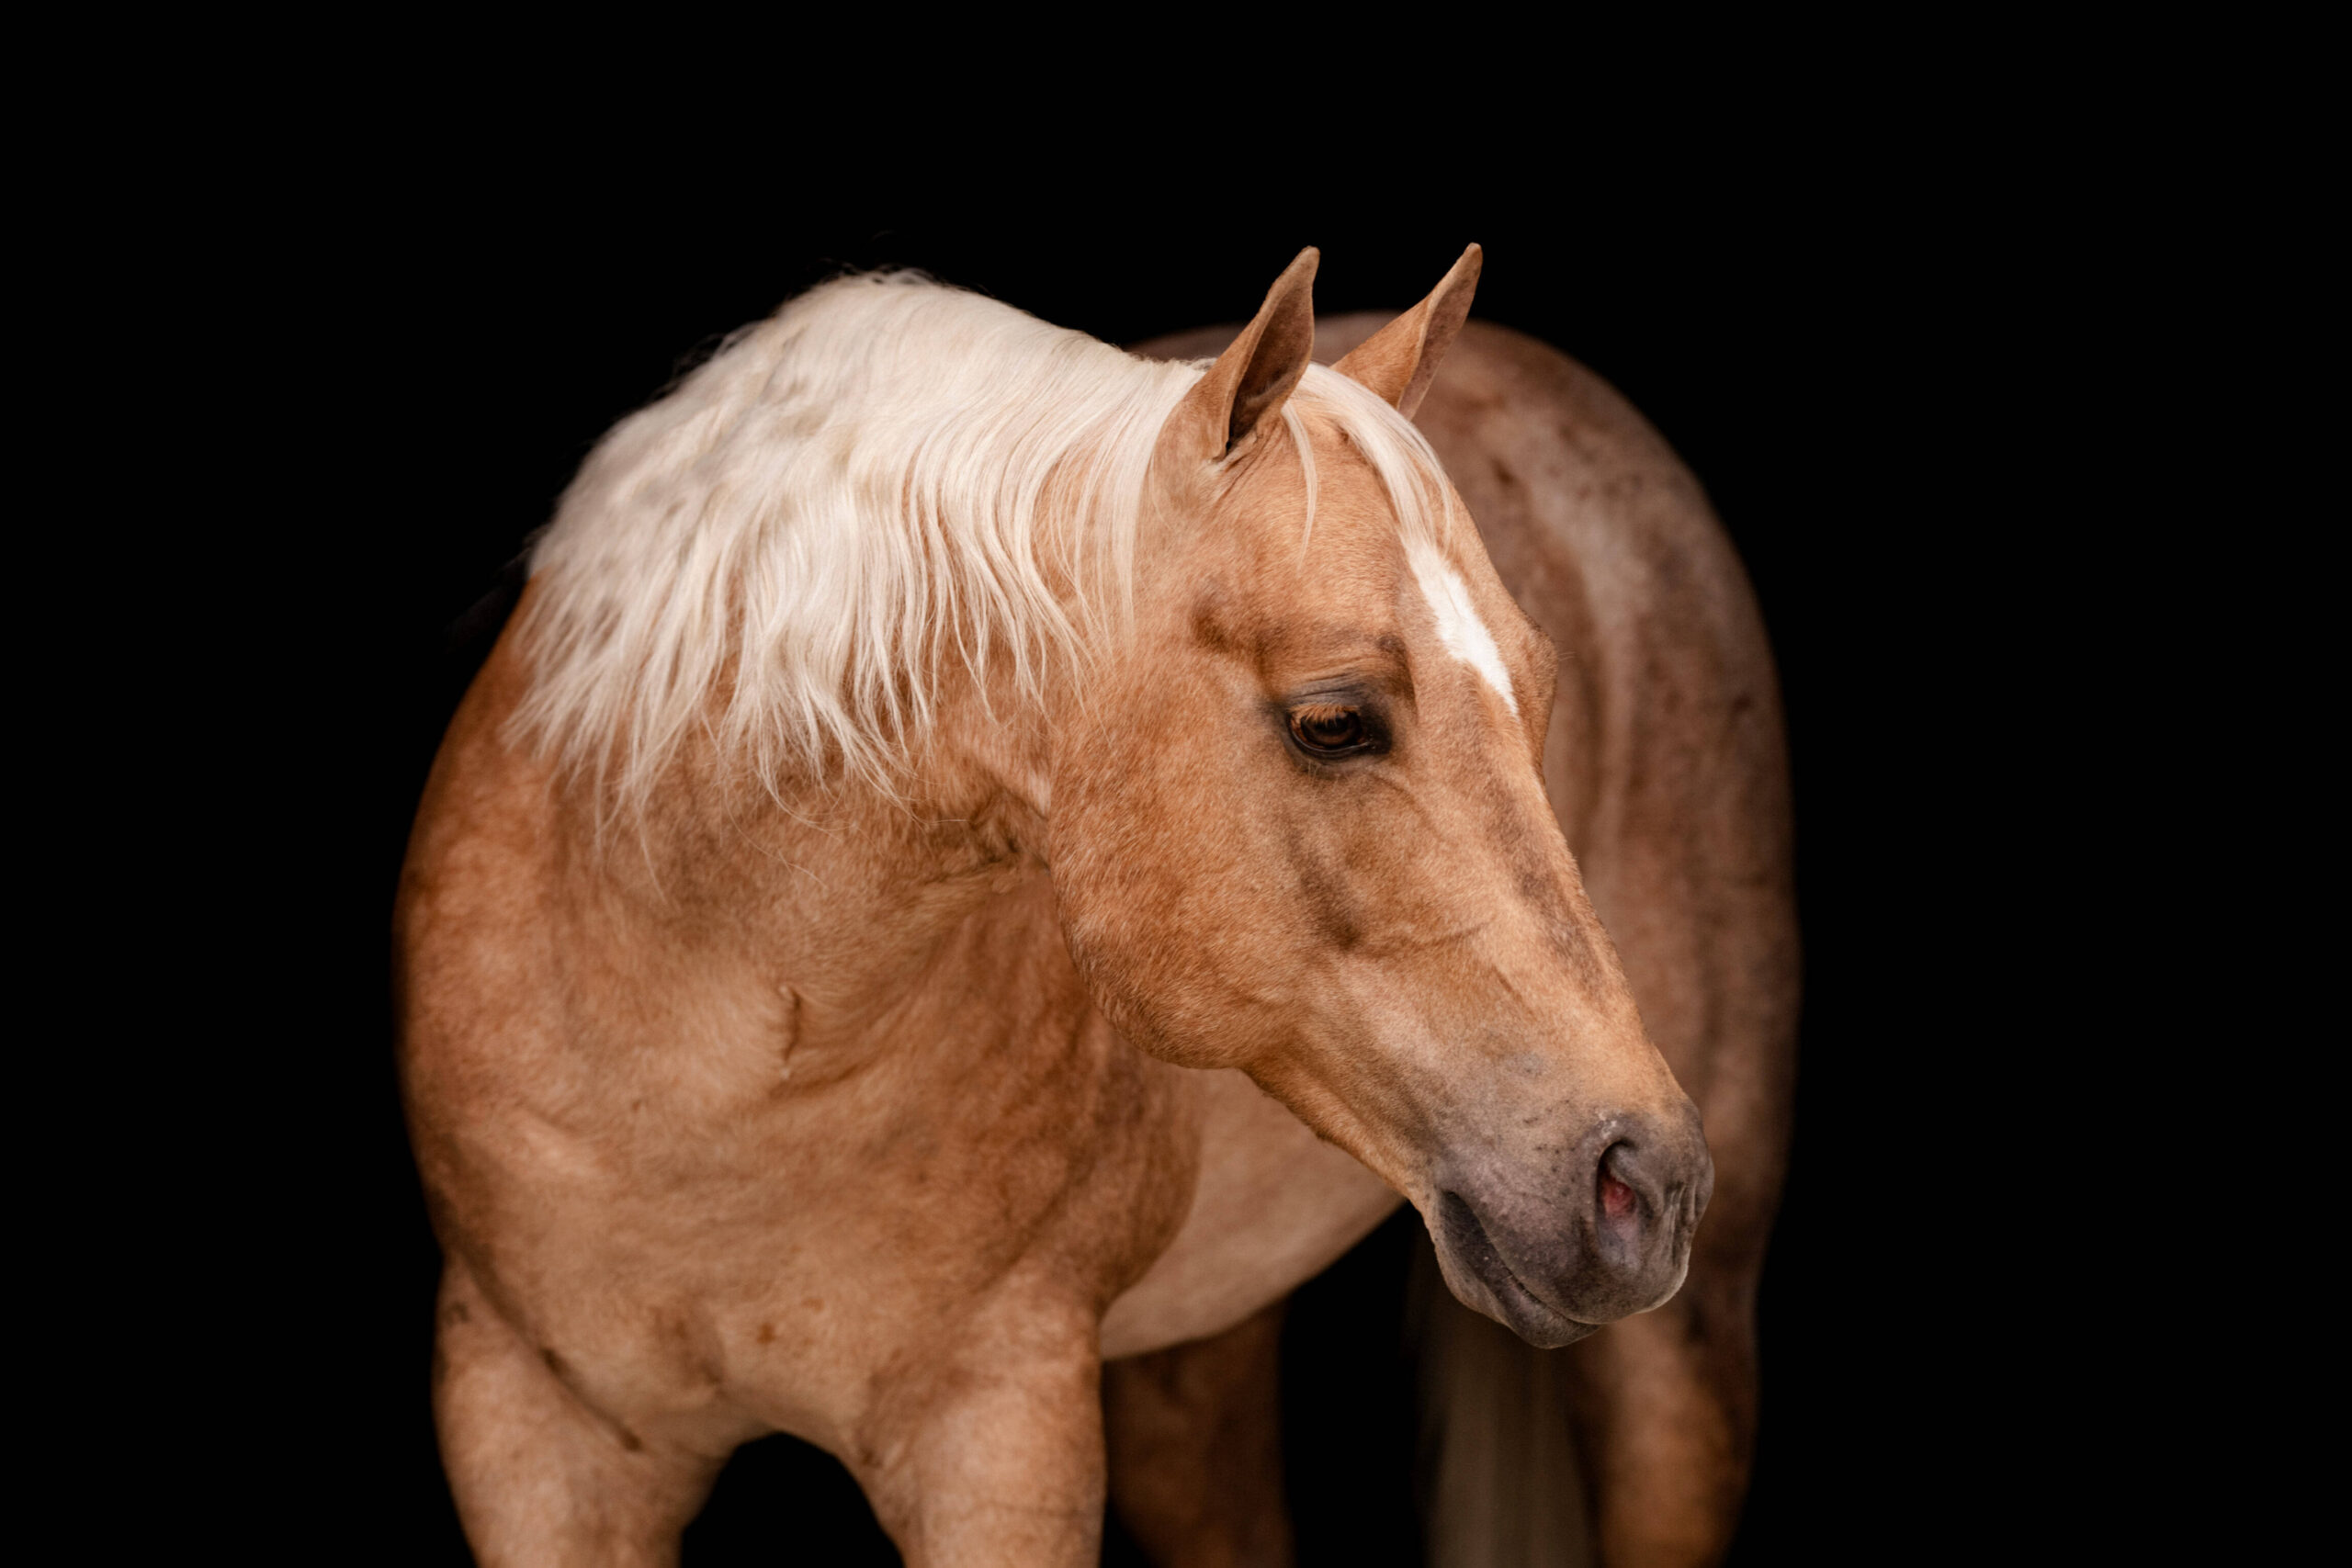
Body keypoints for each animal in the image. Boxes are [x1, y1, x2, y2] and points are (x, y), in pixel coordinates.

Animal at [396, 246, 1796, 1567]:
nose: (1643, 1181)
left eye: (1540, 691)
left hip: (1677, 1372)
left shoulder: (997, 1432)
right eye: (1334, 720)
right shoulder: (532, 1435)